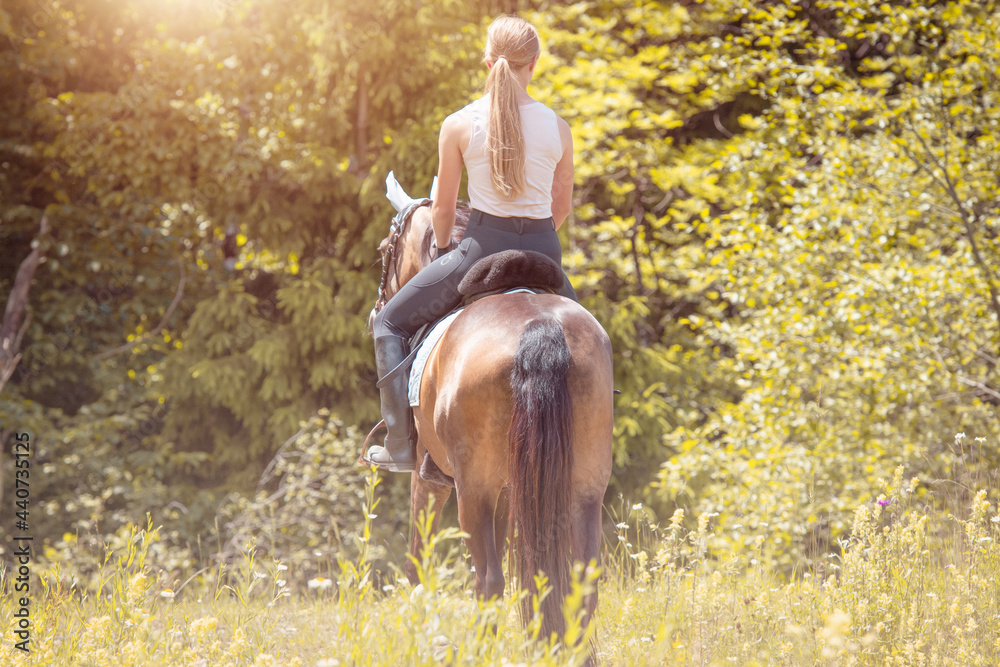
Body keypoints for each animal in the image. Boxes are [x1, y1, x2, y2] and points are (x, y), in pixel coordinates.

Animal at [367, 194, 614, 645]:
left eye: (383, 250)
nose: (375, 309)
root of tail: (539, 325)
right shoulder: (507, 484)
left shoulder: (430, 476)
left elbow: (417, 560)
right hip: (584, 484)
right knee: (579, 582)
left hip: (474, 488)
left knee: (489, 581)